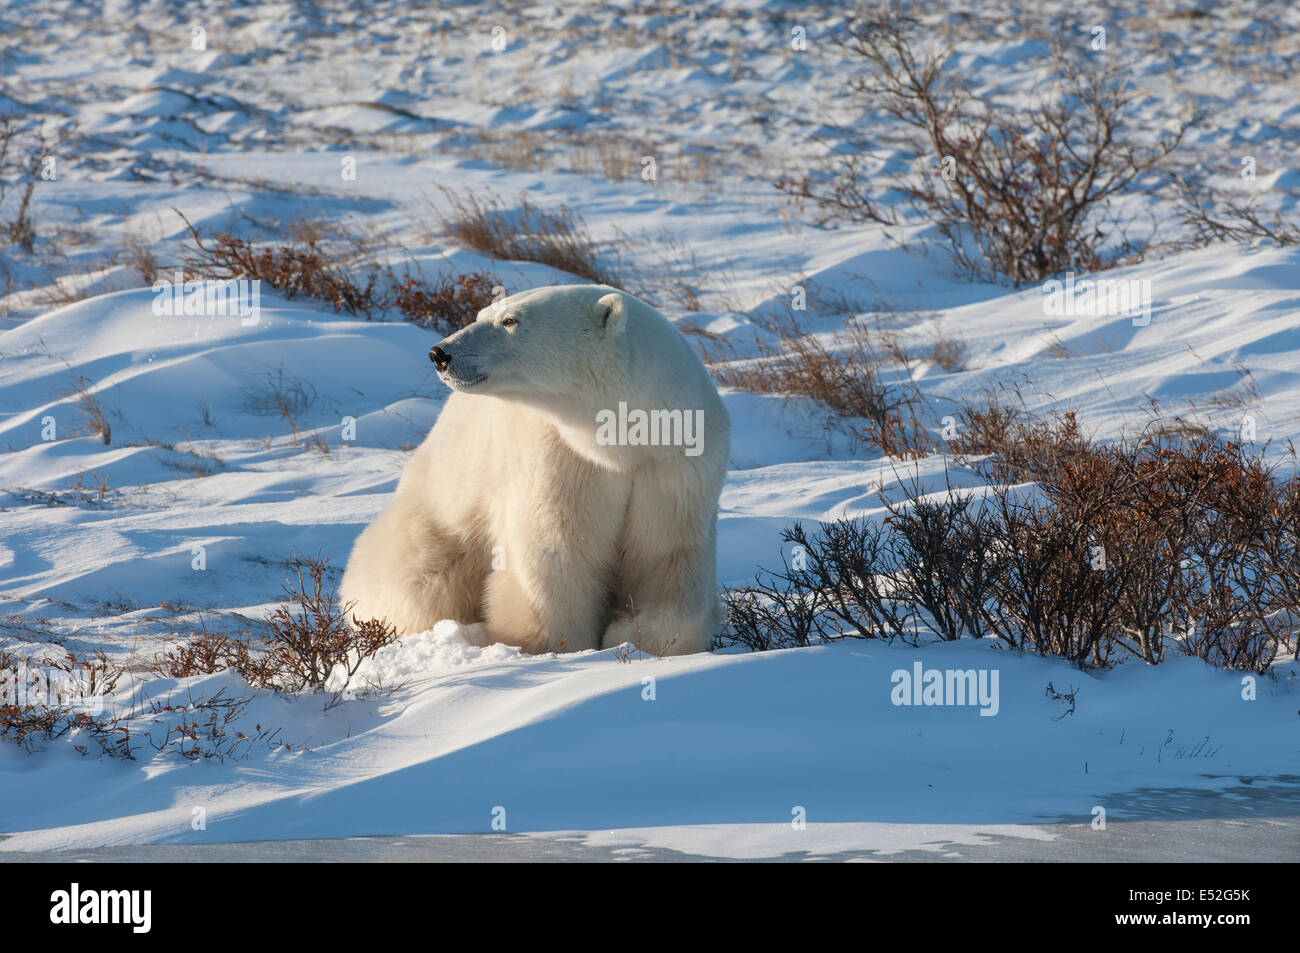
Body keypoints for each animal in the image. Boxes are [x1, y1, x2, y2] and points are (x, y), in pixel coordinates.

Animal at [339, 284, 730, 657]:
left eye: (510, 320)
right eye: (481, 313)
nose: (439, 353)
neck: (622, 443)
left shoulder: (672, 465)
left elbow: (667, 554)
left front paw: (636, 638)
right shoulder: (560, 456)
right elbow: (555, 550)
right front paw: (558, 647)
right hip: (435, 514)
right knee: (419, 576)